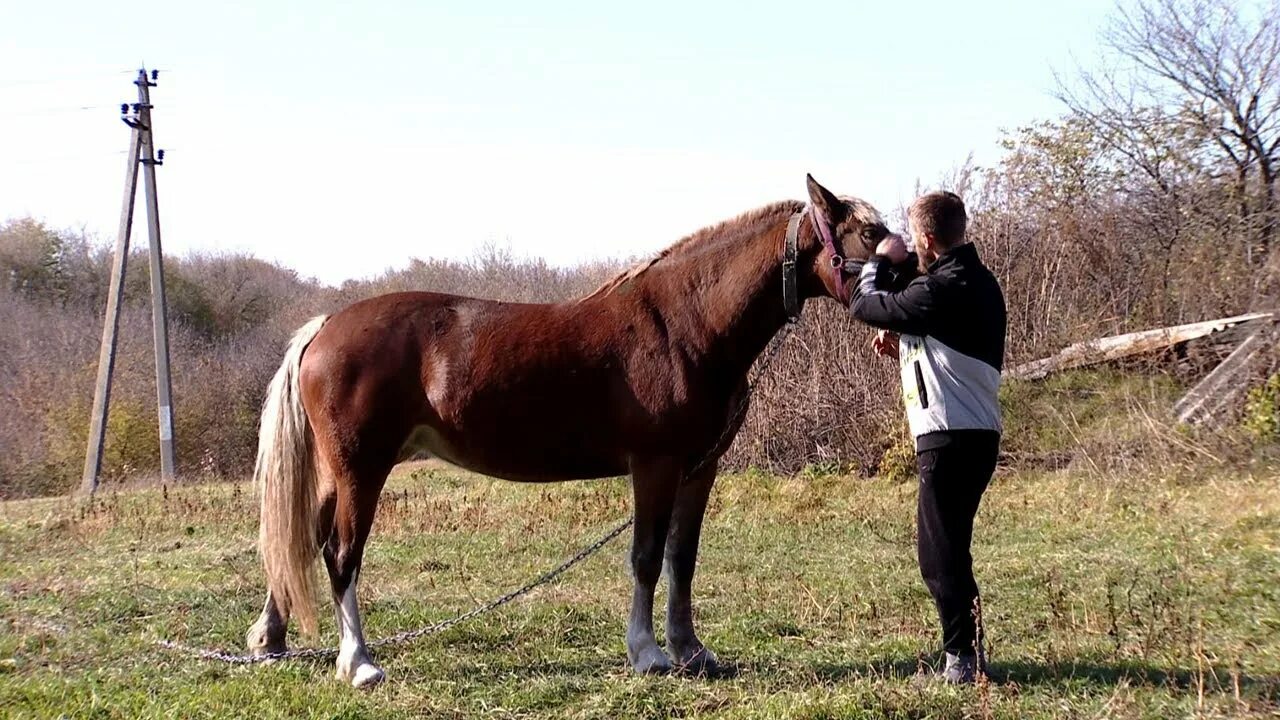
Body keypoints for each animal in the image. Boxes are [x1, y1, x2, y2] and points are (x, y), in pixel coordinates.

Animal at [244, 172, 896, 681]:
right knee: (340, 553)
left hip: (343, 471)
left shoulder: (699, 469)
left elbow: (682, 557)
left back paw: (270, 639)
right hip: (362, 469)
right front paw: (648, 654)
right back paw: (358, 662)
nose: (911, 268)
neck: (685, 324)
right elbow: (646, 557)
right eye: (868, 234)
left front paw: (691, 650)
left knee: (302, 537)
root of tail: (324, 327)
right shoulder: (654, 466)